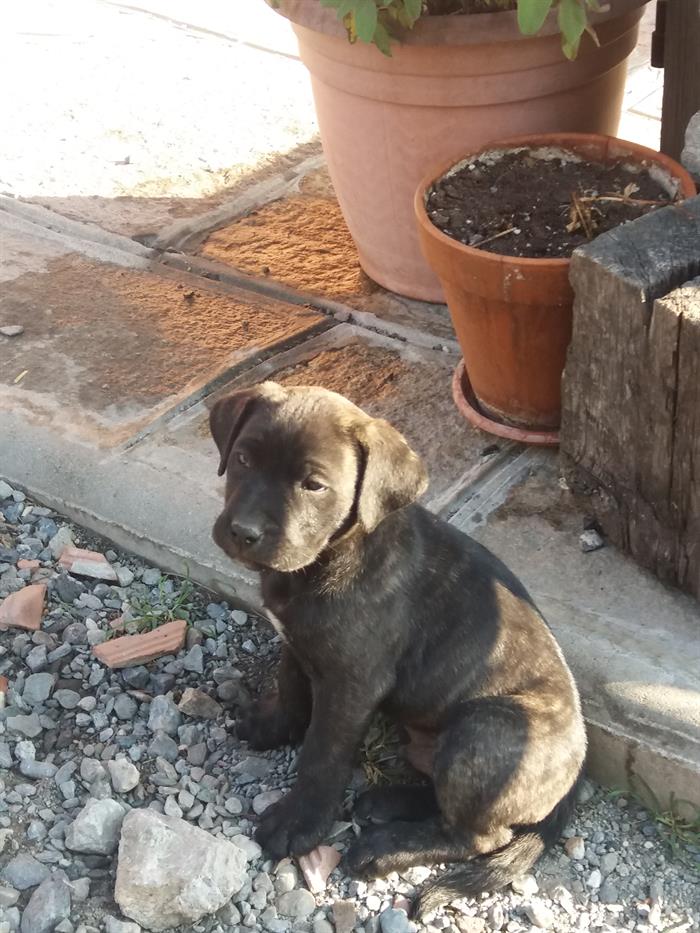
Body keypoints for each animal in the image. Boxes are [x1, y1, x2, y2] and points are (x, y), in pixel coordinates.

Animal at [211, 382, 588, 912]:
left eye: (314, 486)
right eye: (243, 458)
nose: (243, 533)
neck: (334, 556)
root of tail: (576, 776)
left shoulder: (352, 685)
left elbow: (323, 755)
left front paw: (297, 822)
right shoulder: (298, 644)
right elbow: (289, 688)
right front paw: (270, 727)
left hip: (485, 728)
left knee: (481, 836)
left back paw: (386, 848)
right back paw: (387, 803)